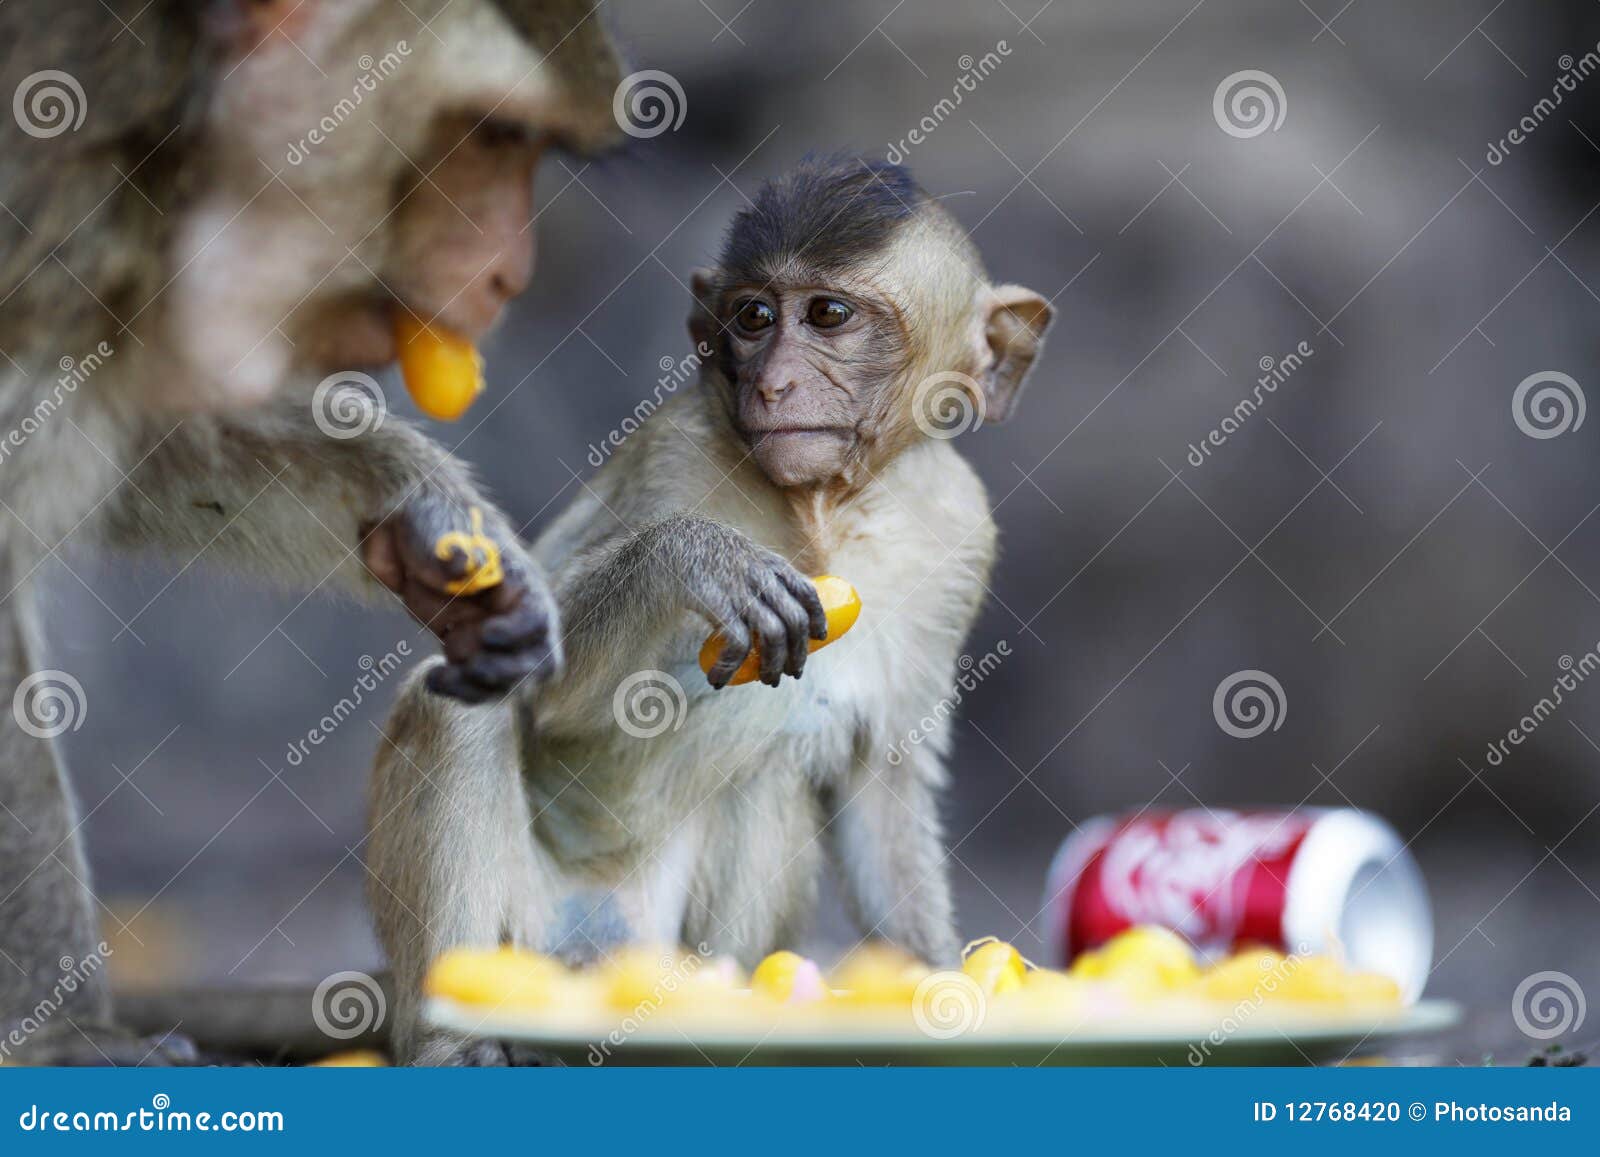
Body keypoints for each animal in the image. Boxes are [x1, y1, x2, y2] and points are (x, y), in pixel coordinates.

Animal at [0, 0, 622, 1064]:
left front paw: (422, 516)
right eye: (494, 136)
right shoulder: (55, 219)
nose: (509, 275)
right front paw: (59, 1030)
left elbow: (144, 430)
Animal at [367, 157, 1055, 1064]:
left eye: (829, 315)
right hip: (527, 937)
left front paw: (941, 980)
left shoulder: (958, 532)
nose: (774, 381)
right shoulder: (675, 448)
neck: (822, 512)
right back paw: (454, 1041)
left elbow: (880, 777)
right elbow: (542, 682)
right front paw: (693, 559)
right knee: (459, 708)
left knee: (777, 766)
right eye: (754, 317)